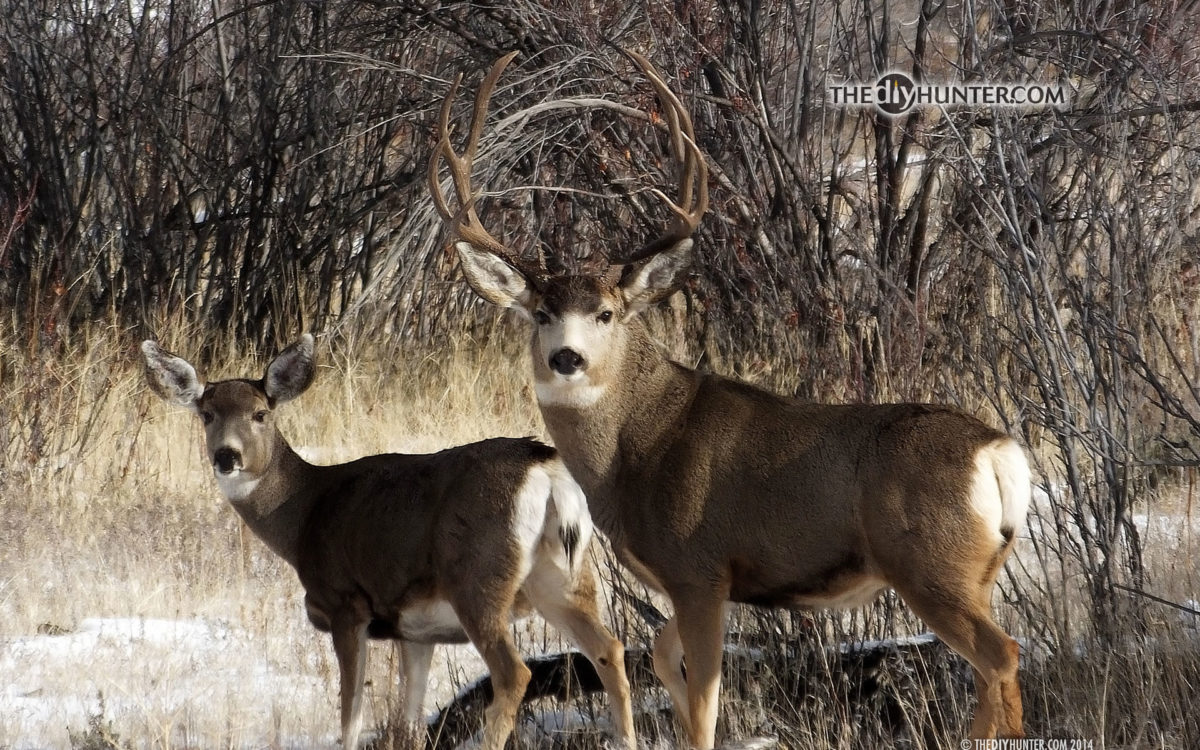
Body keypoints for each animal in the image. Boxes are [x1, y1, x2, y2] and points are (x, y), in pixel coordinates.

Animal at [140, 334, 635, 750]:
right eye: (206, 415)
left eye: (261, 415)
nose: (227, 456)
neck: (304, 516)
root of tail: (547, 470)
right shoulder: (416, 631)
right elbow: (409, 722)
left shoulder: (346, 604)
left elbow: (350, 716)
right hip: (564, 575)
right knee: (608, 649)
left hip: (479, 577)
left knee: (515, 673)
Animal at [428, 52, 1032, 748]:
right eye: (542, 313)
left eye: (606, 313)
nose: (567, 358)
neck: (639, 450)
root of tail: (999, 452)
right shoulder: (694, 584)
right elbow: (664, 659)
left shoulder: (698, 568)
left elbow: (705, 702)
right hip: (980, 569)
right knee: (994, 670)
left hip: (932, 563)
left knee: (1001, 656)